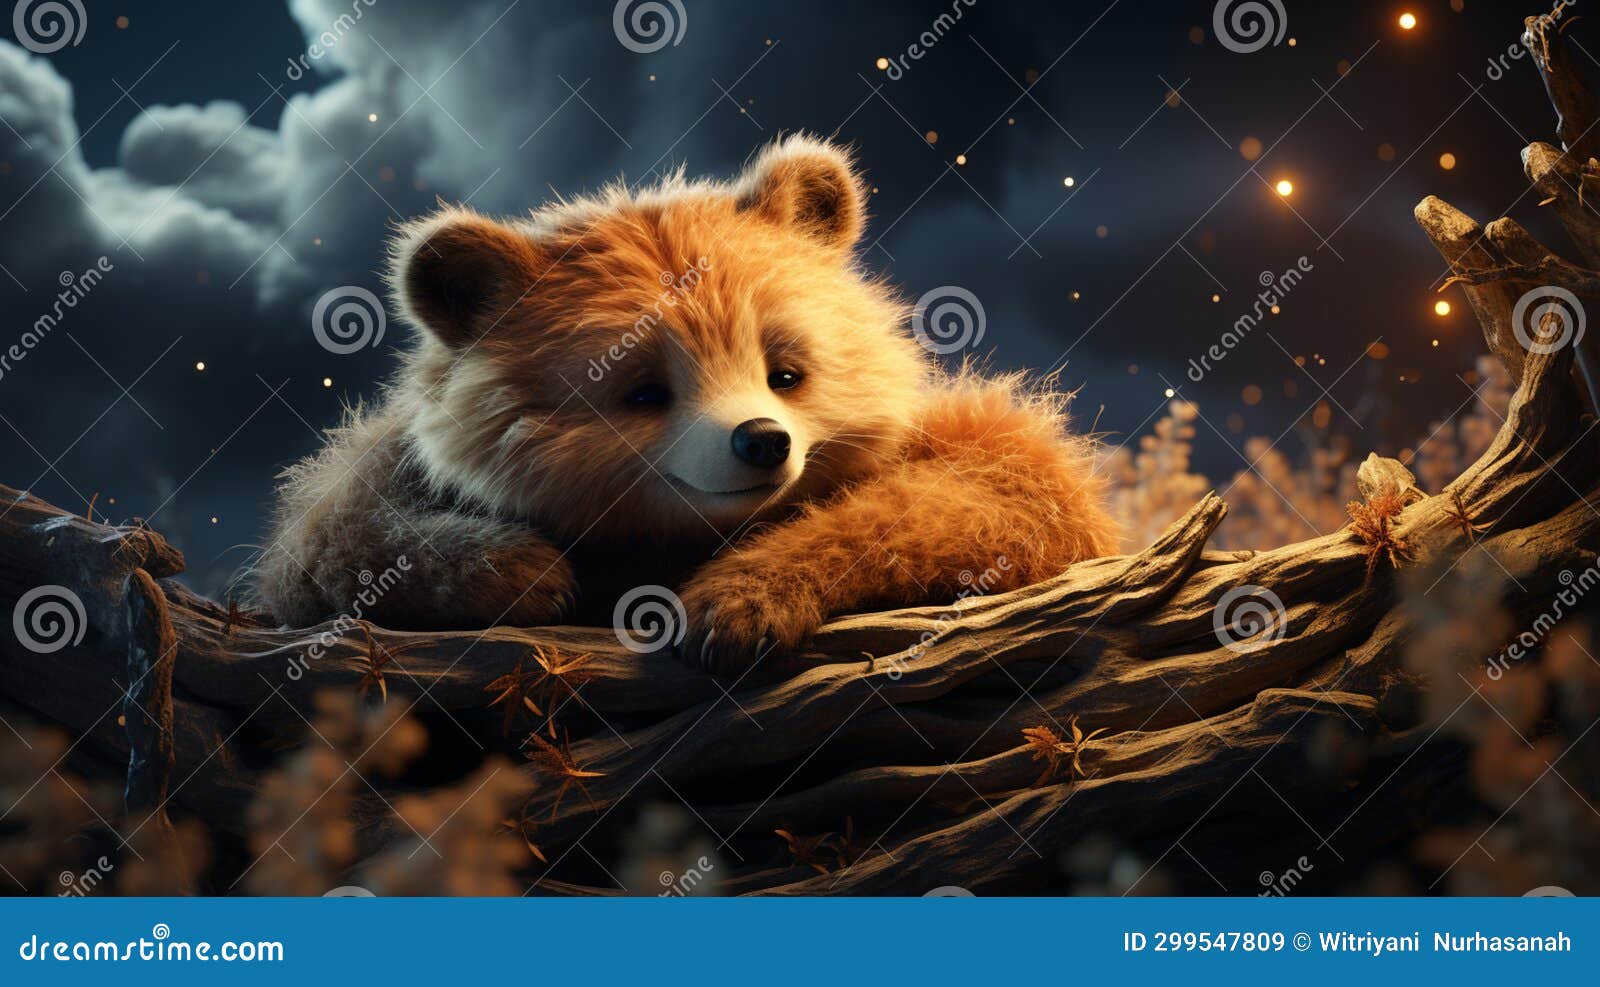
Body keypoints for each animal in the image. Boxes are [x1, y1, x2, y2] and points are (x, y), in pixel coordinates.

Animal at [253, 134, 1119, 674]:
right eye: (643, 390)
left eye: (785, 371)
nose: (761, 440)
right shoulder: (384, 467)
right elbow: (328, 539)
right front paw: (516, 567)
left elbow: (1008, 488)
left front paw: (743, 595)